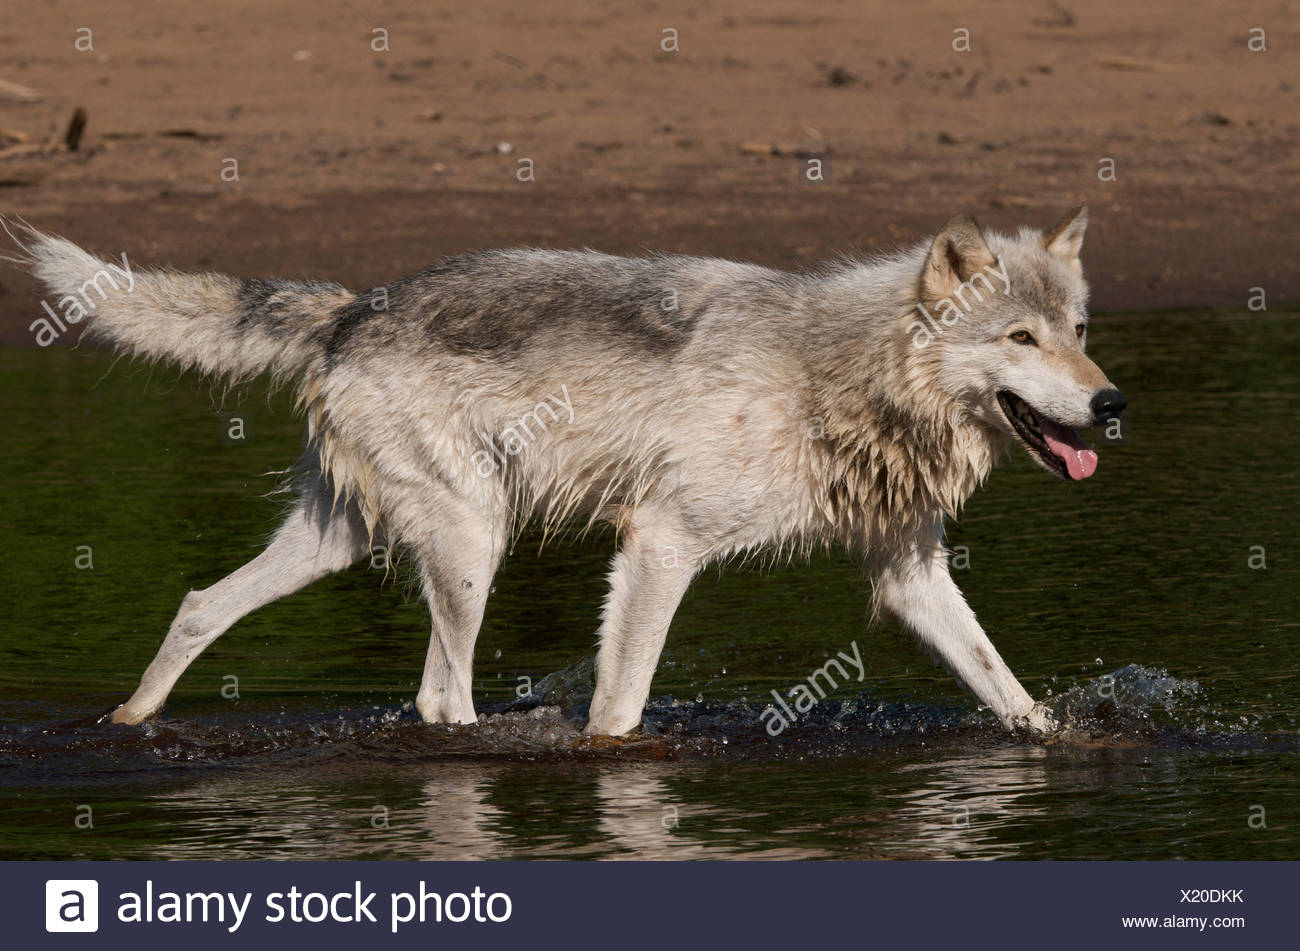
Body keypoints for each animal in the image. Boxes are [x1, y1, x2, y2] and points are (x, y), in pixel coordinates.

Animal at [8, 205, 1123, 736]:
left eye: (1077, 332)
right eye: (1019, 338)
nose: (1111, 404)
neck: (837, 373)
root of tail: (352, 305)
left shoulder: (909, 573)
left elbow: (1003, 684)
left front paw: (1067, 743)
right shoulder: (661, 544)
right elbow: (620, 708)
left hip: (347, 539)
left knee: (201, 603)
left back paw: (128, 721)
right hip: (470, 547)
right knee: (439, 701)